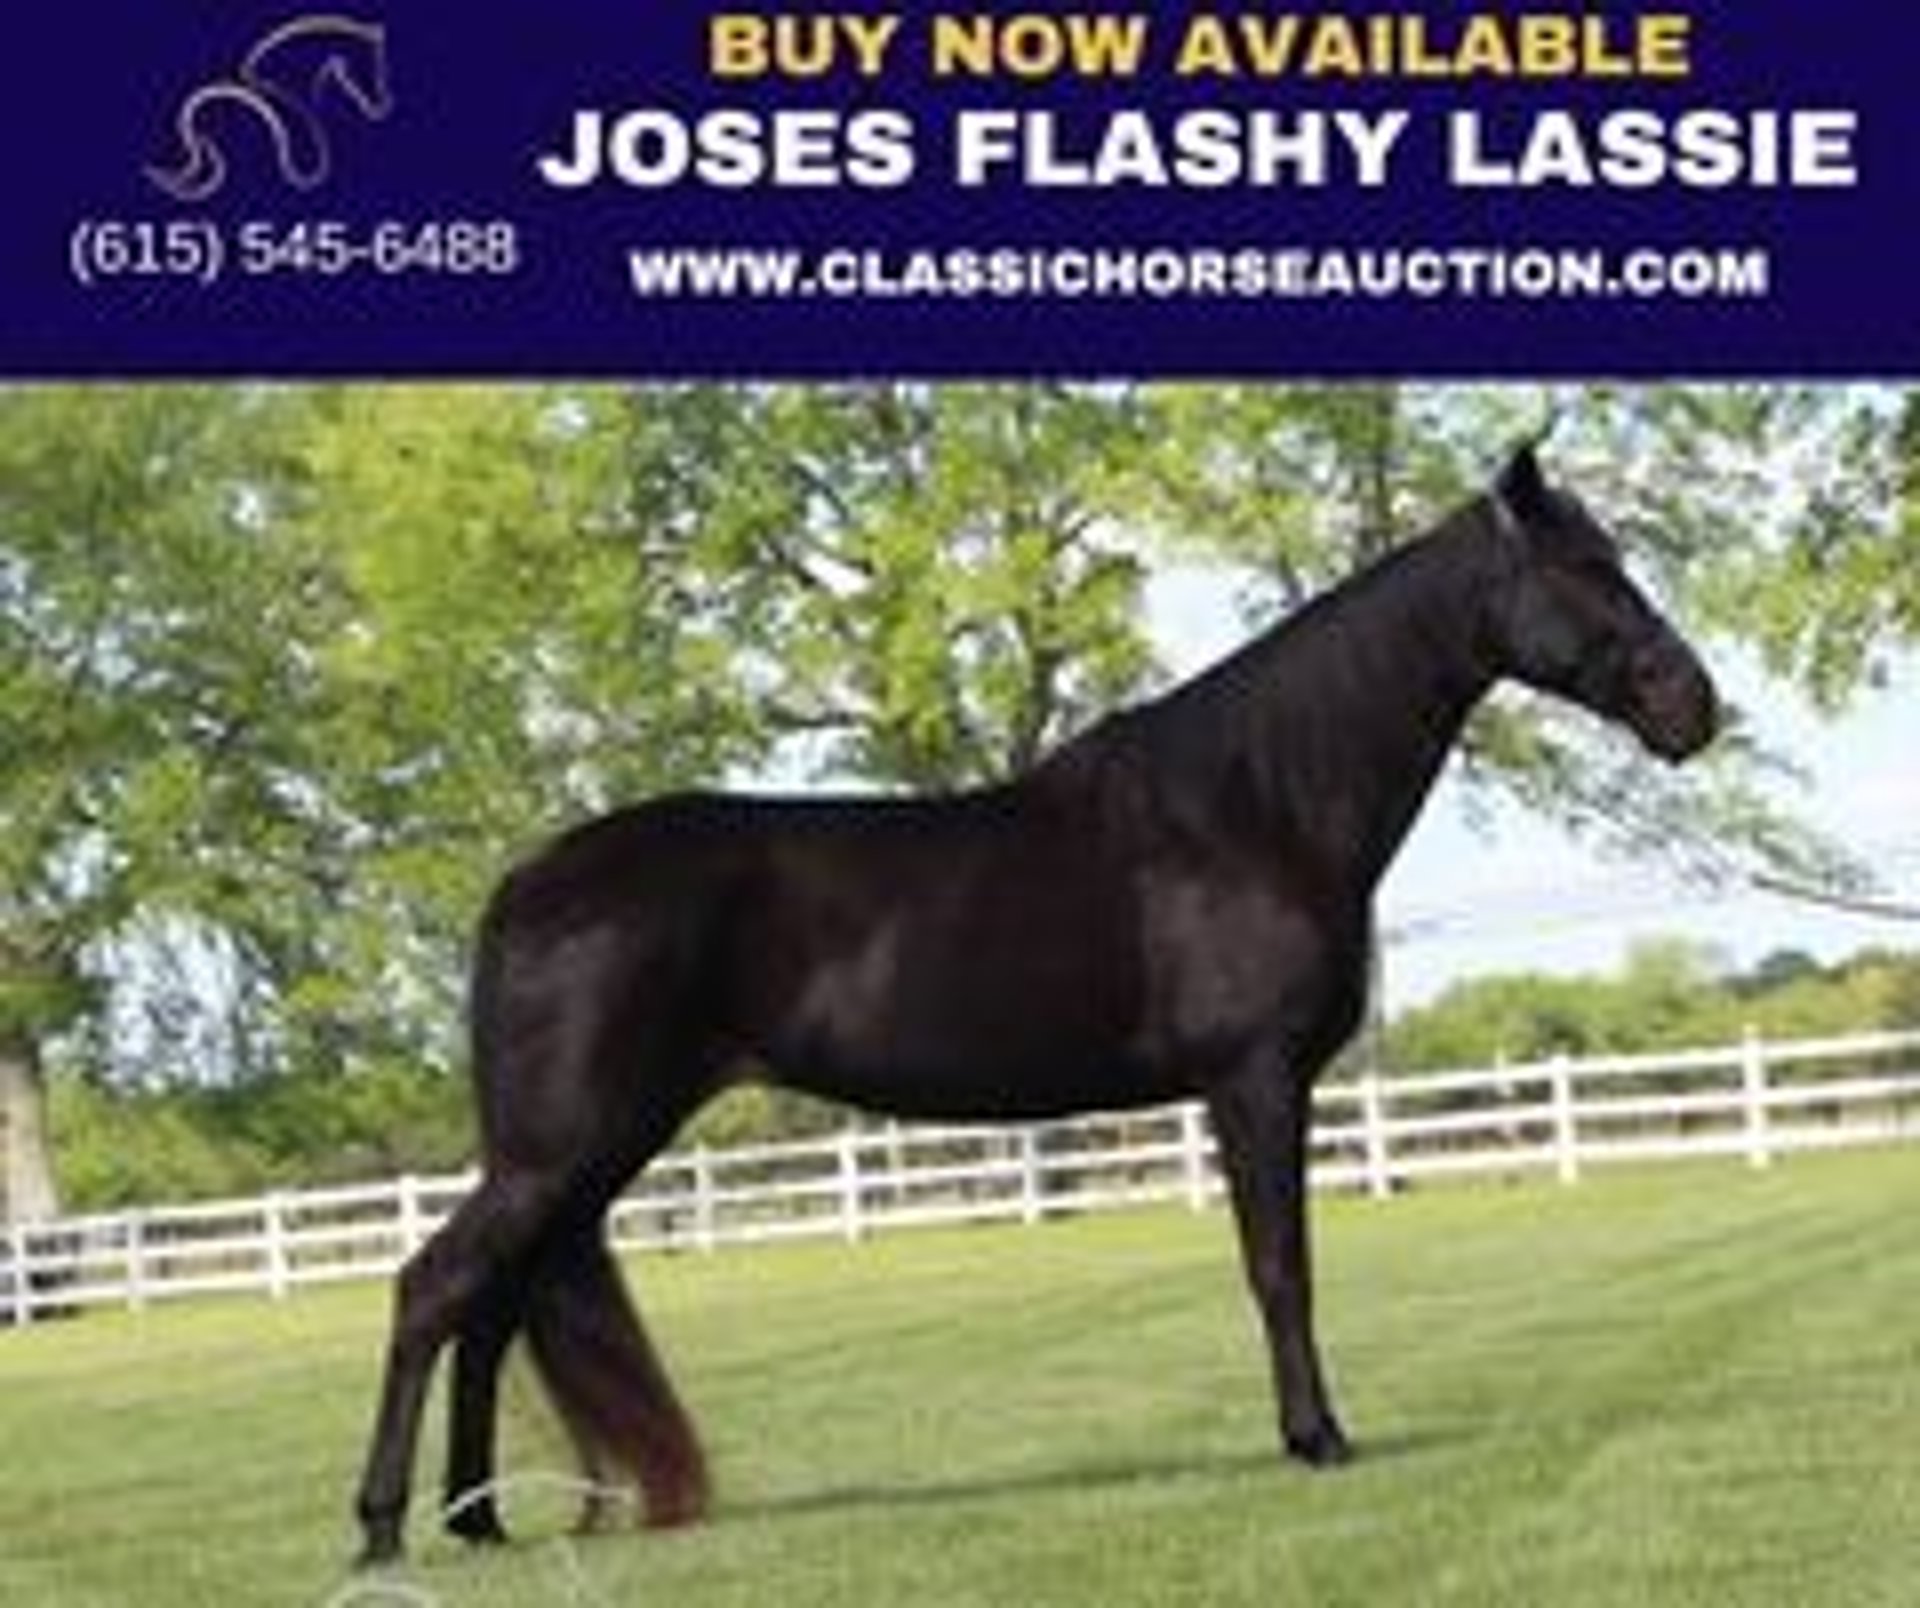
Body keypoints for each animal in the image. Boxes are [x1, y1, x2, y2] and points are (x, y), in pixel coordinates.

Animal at [352, 444, 1718, 1565]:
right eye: (1589, 572)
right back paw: (382, 1530)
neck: (1254, 807)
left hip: (586, 1151)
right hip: (563, 1148)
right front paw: (1319, 1438)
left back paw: (482, 1524)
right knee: (433, 1290)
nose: (1694, 707)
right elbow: (1281, 1267)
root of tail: (530, 882)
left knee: (493, 1305)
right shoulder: (1256, 1079)